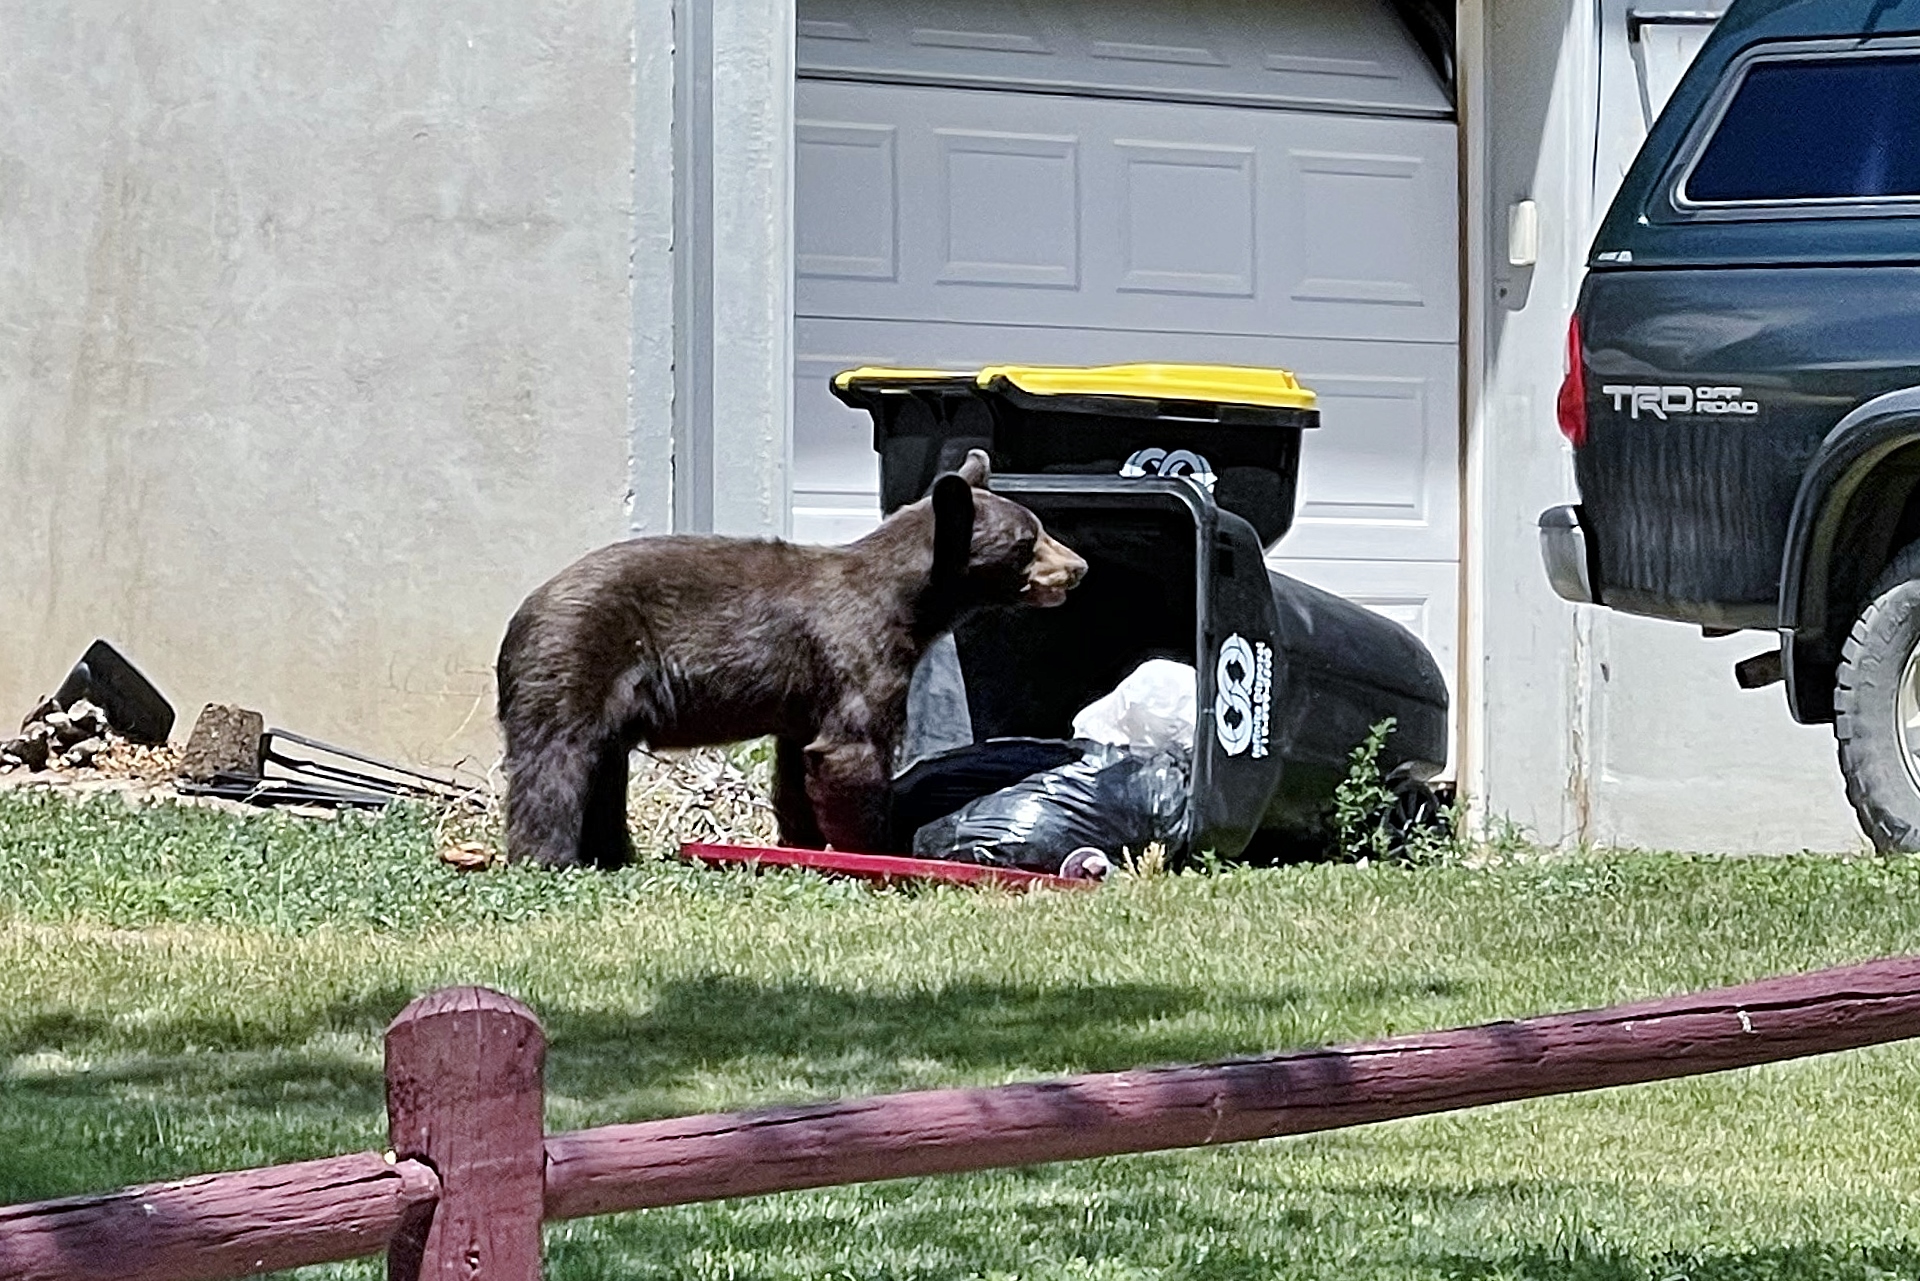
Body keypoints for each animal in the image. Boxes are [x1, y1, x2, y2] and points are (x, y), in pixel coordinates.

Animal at [495, 450, 1086, 868]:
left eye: (1038, 529)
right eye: (1028, 541)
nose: (1079, 567)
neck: (908, 604)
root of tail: (519, 617)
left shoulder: (806, 694)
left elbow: (798, 766)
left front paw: (800, 842)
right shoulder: (857, 651)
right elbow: (852, 750)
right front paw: (875, 850)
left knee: (602, 767)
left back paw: (612, 854)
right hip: (577, 657)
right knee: (557, 762)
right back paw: (548, 857)